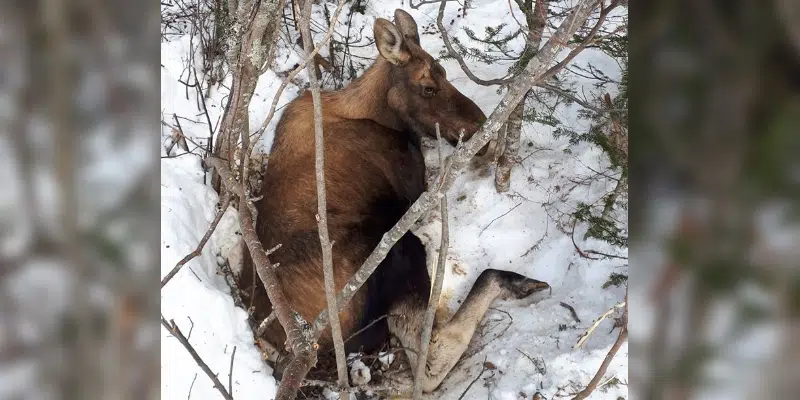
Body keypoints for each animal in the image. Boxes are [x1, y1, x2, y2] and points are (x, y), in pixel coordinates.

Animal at [238, 9, 551, 393]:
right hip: (395, 250)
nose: (482, 131)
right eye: (427, 86)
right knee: (428, 356)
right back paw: (513, 282)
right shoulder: (413, 190)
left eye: (443, 73)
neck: (376, 111)